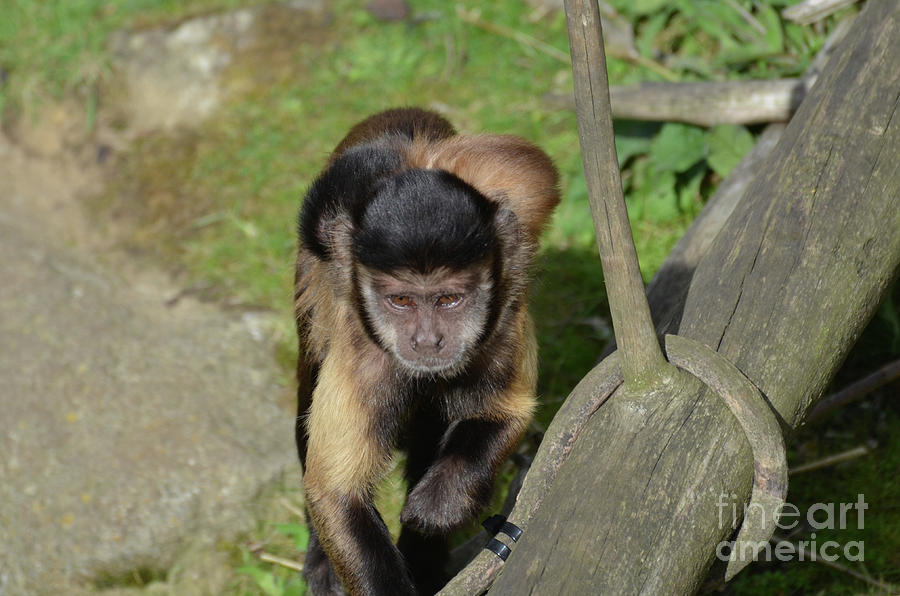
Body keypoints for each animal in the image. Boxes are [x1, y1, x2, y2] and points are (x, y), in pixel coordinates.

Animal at [294, 107, 559, 595]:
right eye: (401, 301)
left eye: (448, 300)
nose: (426, 341)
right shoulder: (364, 354)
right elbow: (335, 492)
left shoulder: (500, 325)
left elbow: (507, 411)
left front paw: (440, 504)